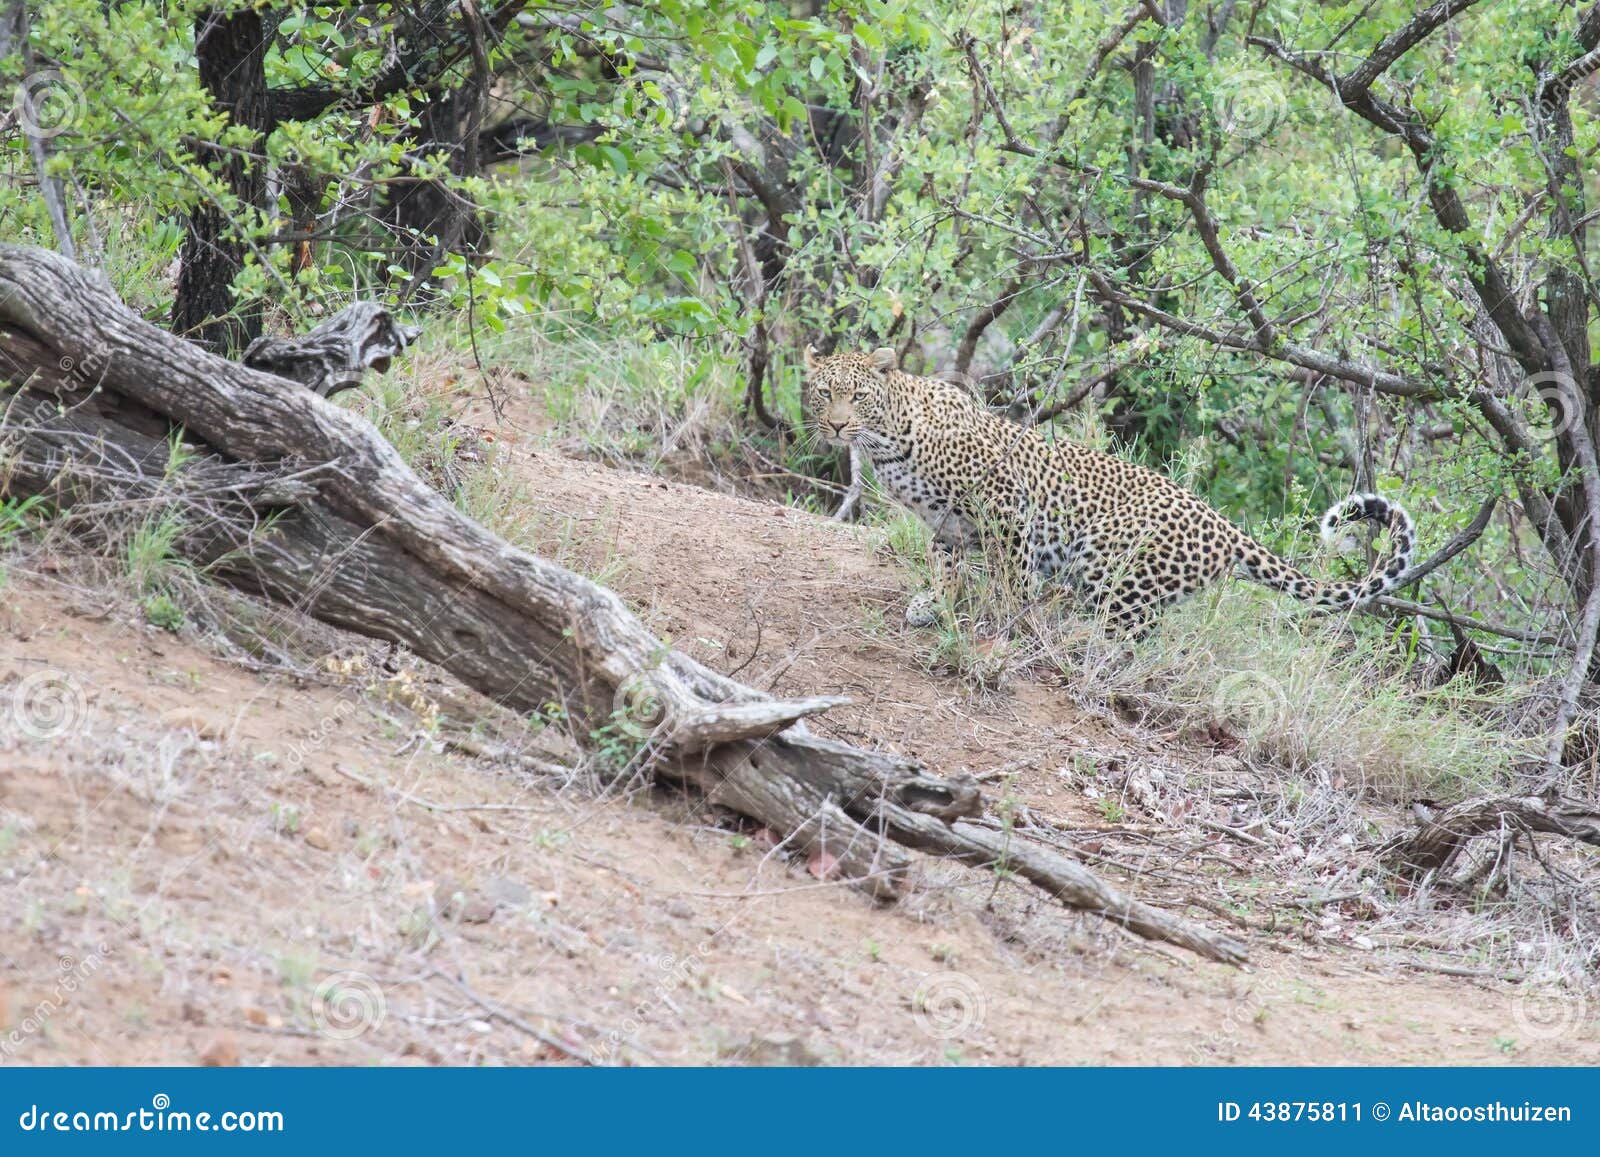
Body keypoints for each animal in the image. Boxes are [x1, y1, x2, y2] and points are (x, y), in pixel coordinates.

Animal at [802, 344, 1416, 632]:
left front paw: (1005, 615)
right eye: (823, 393)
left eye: (856, 396)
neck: (888, 442)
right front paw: (936, 604)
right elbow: (945, 564)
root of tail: (1223, 524)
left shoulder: (1006, 503)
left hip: (1109, 557)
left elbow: (1011, 575)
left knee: (1125, 632)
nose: (835, 426)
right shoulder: (949, 523)